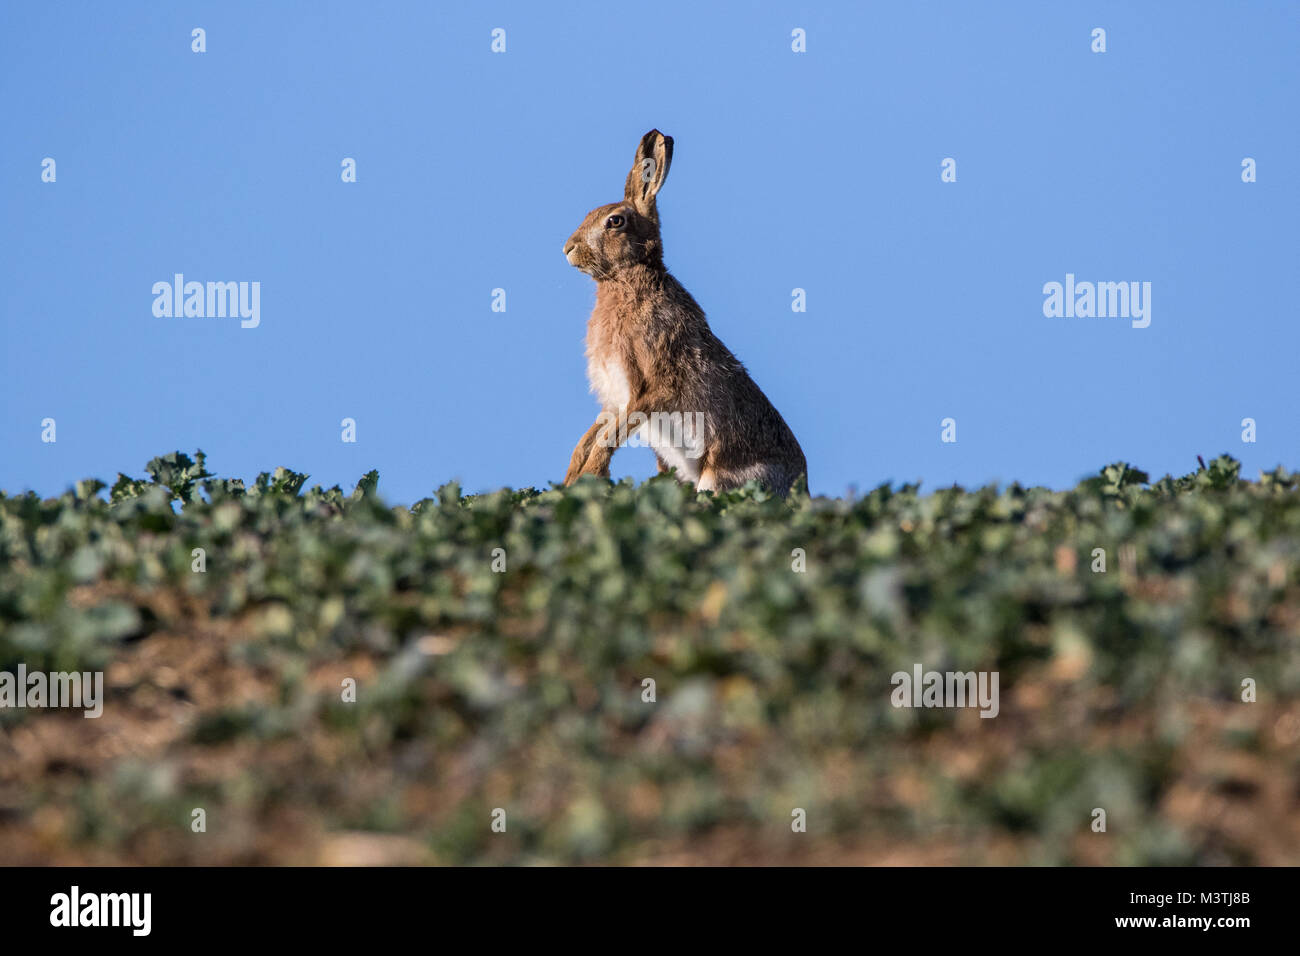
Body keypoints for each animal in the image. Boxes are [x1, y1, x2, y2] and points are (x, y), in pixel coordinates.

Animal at [561, 130, 808, 497]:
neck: (626, 280)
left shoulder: (652, 387)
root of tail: (802, 488)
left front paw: (590, 475)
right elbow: (590, 437)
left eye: (615, 221)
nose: (568, 249)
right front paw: (570, 478)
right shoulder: (614, 400)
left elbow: (612, 436)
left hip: (717, 479)